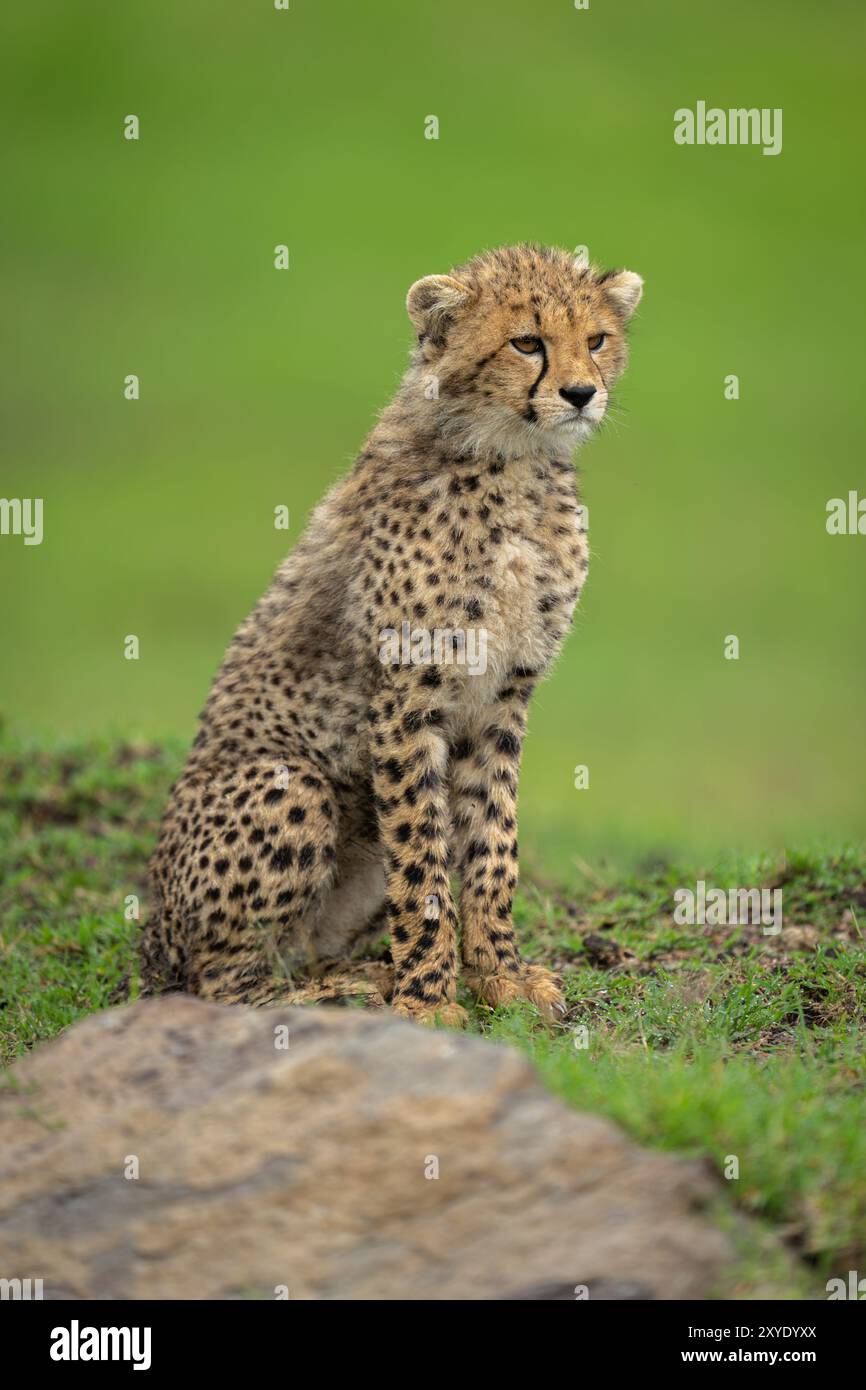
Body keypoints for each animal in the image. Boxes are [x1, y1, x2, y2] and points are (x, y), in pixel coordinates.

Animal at [141, 243, 643, 1025]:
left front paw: (500, 976)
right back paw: (347, 991)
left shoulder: (503, 697)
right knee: (222, 982)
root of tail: (153, 931)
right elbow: (424, 863)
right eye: (527, 343)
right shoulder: (407, 700)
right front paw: (429, 1002)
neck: (512, 462)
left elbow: (493, 843)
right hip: (291, 786)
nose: (582, 393)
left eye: (595, 339)